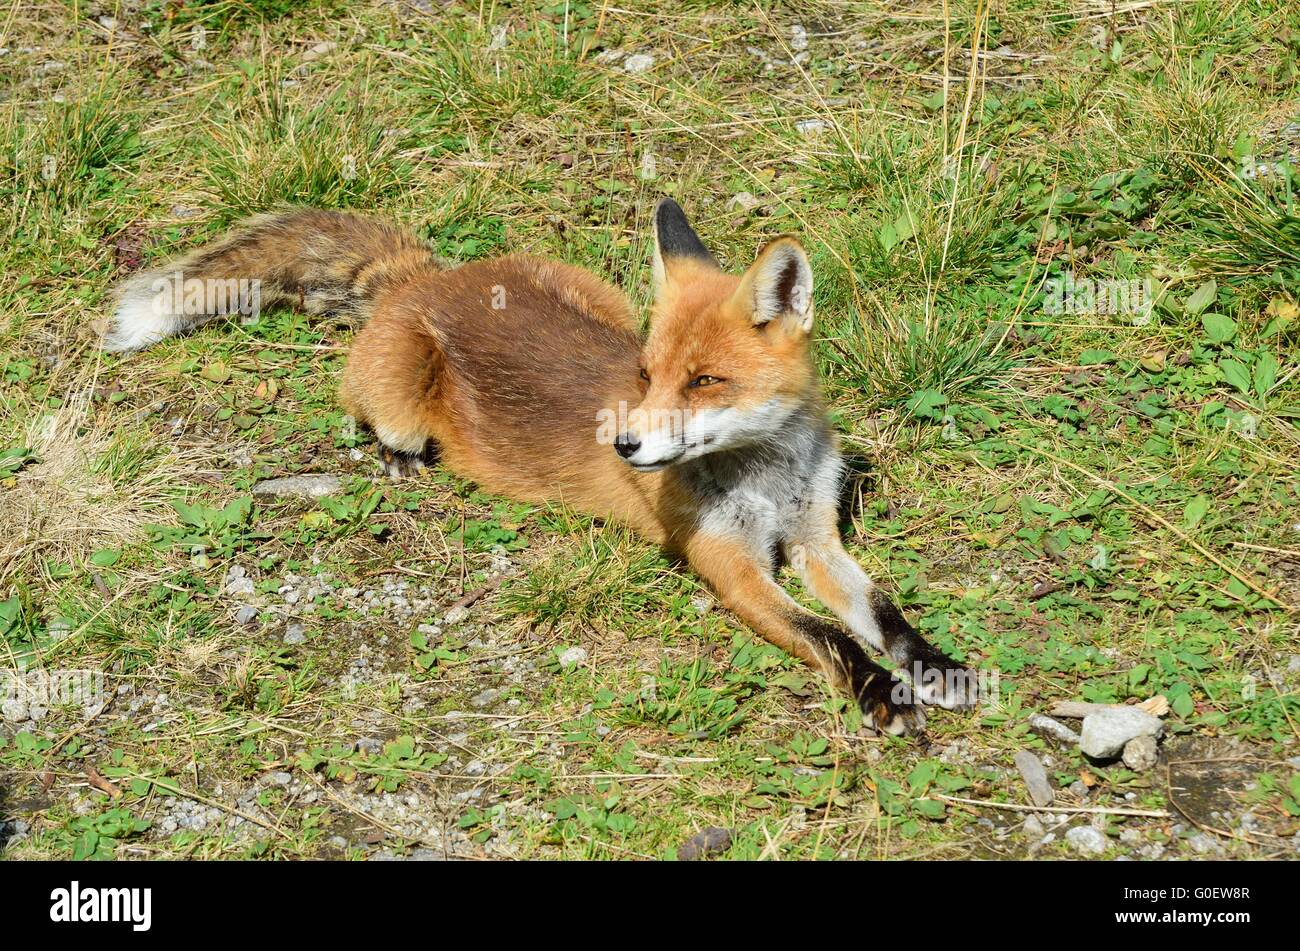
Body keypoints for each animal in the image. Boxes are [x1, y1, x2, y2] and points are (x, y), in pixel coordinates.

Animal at [103, 199, 976, 735]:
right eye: (644, 375)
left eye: (703, 381)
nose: (624, 447)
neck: (767, 476)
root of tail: (426, 278)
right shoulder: (728, 564)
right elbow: (829, 635)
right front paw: (880, 691)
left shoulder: (816, 538)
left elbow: (884, 613)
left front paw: (935, 665)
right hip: (399, 402)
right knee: (374, 420)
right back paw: (394, 459)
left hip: (600, 296)